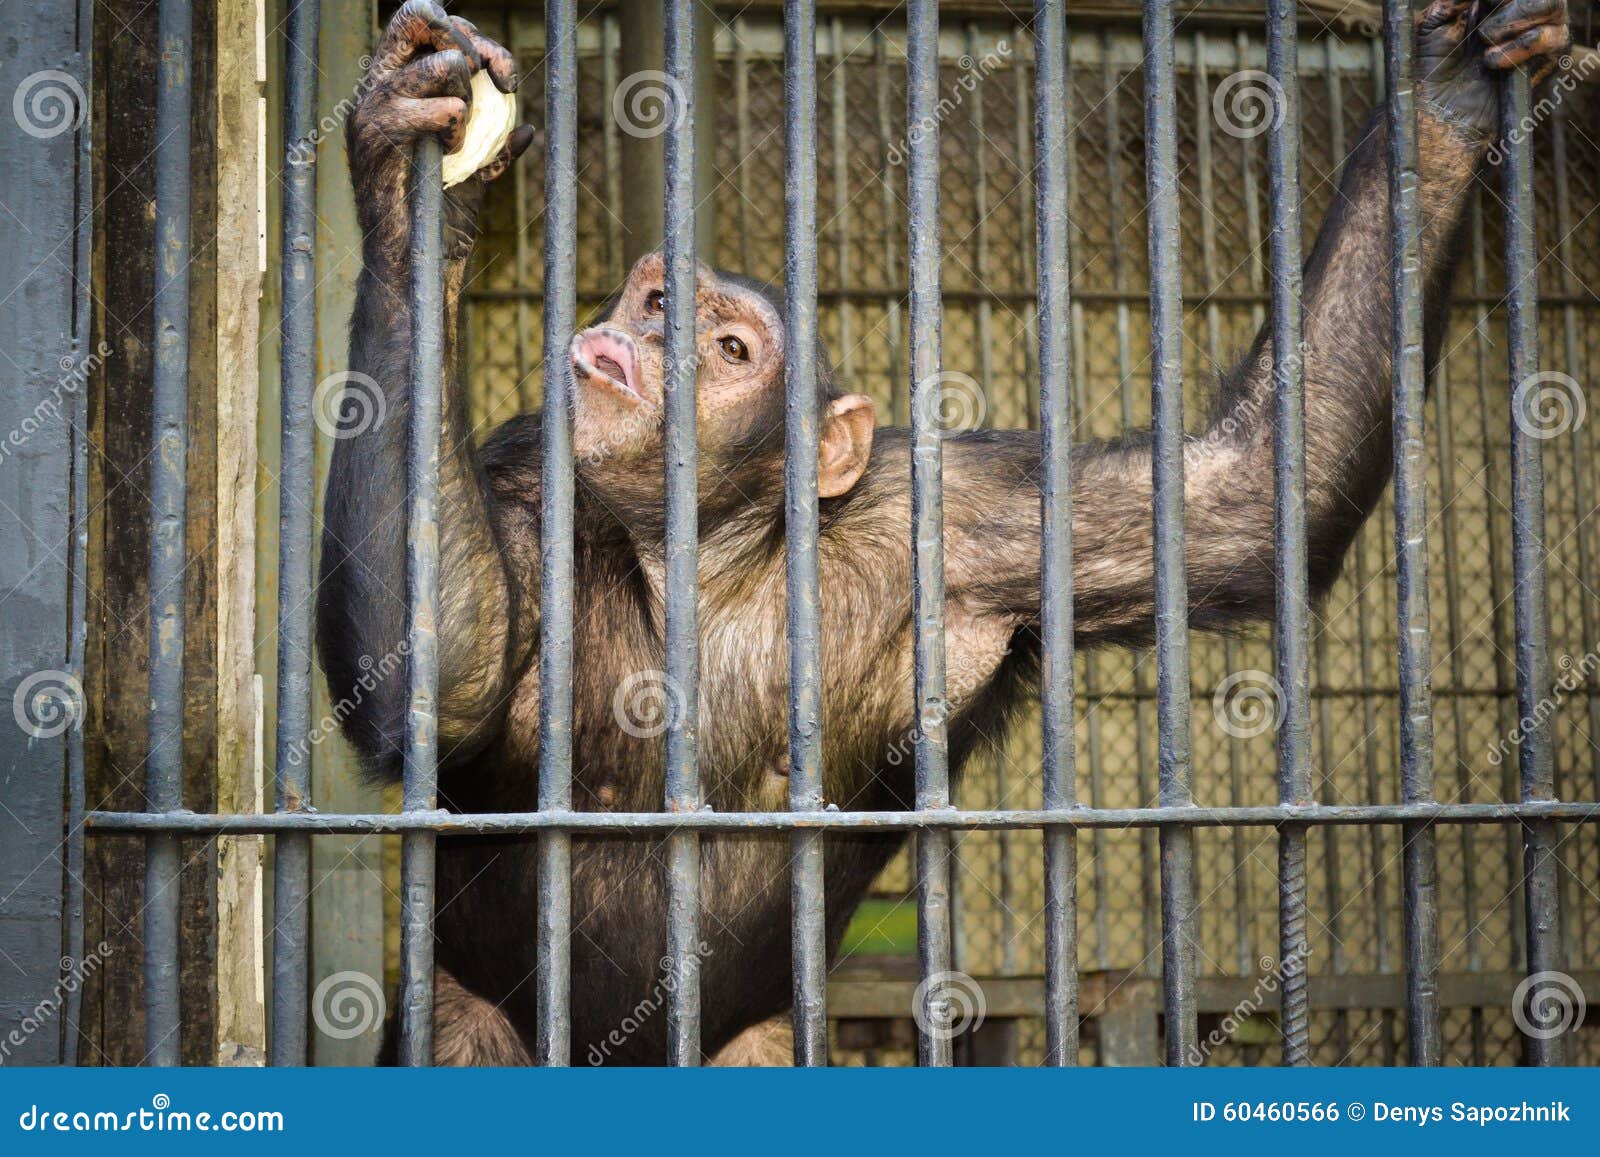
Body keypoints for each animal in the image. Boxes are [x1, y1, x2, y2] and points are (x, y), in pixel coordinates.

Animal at [316, 0, 1572, 1064]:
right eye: (658, 303)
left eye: (728, 347)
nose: (642, 327)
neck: (712, 556)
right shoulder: (530, 485)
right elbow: (440, 678)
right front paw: (416, 186)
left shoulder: (967, 522)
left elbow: (1242, 497)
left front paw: (1447, 96)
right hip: (466, 1019)